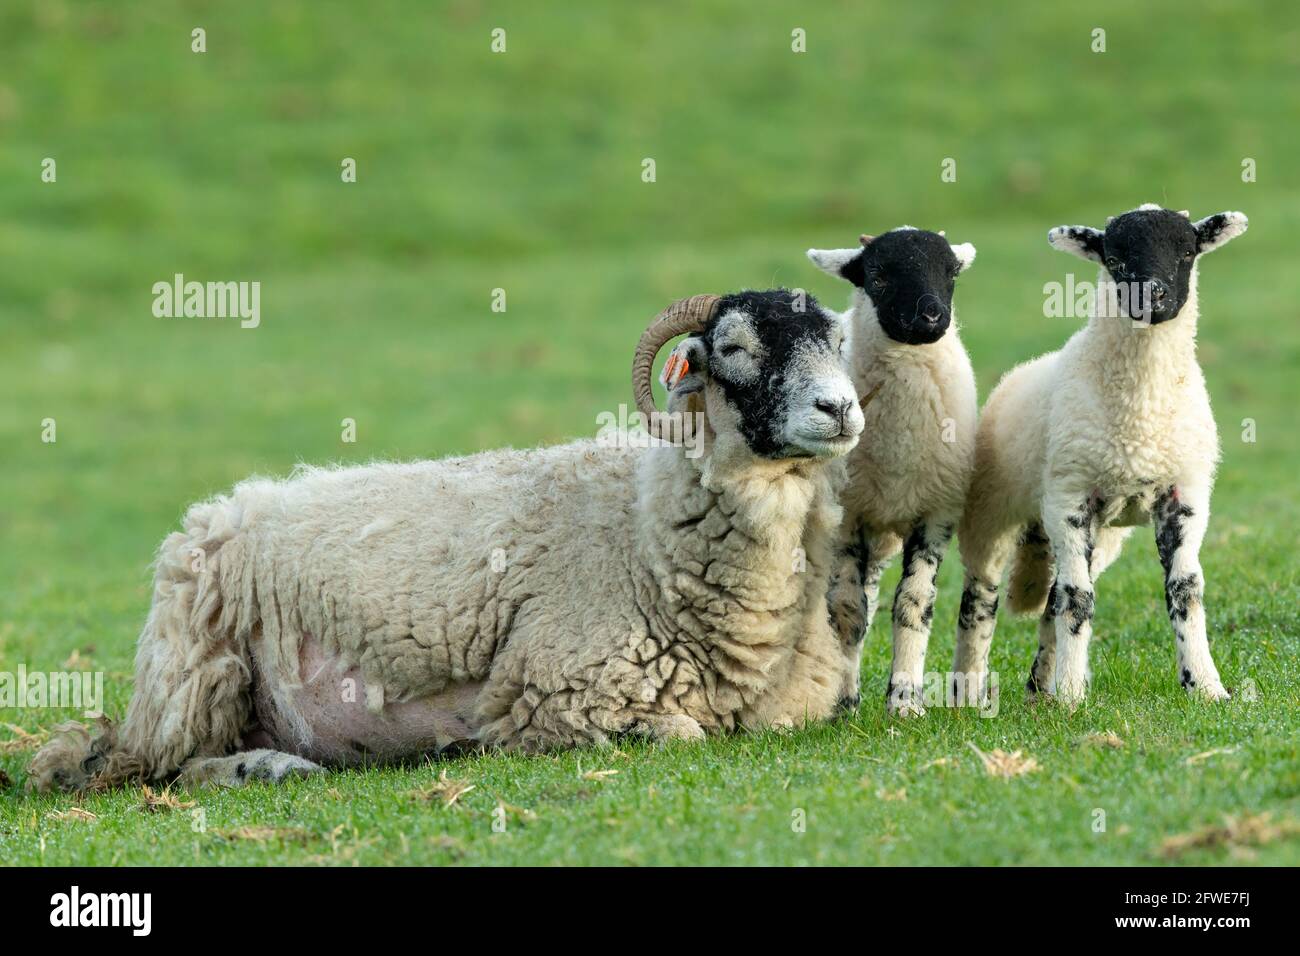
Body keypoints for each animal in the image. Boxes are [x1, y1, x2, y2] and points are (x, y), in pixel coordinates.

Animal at [29, 289, 866, 791]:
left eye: (836, 343)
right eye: (734, 348)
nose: (840, 409)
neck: (641, 535)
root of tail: (218, 508)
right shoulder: (558, 698)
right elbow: (684, 737)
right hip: (197, 677)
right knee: (163, 768)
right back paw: (265, 769)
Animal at [806, 227, 979, 716]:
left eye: (950, 272)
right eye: (879, 276)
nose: (931, 315)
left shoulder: (938, 513)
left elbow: (913, 603)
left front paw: (905, 702)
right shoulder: (847, 515)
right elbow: (847, 610)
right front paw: (845, 706)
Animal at [953, 204, 1247, 706]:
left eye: (1187, 252)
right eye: (1114, 257)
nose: (1151, 294)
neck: (1141, 416)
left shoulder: (1185, 494)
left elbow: (1185, 590)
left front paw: (1206, 686)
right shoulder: (1069, 497)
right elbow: (1078, 598)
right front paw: (1072, 697)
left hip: (1102, 534)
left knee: (1050, 598)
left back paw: (1039, 689)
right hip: (991, 511)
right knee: (981, 598)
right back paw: (970, 692)